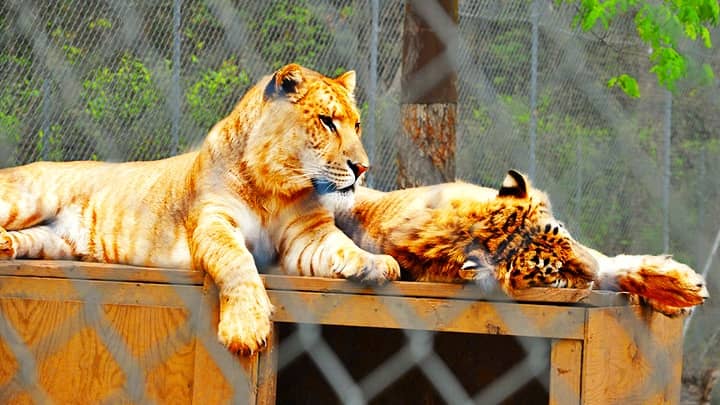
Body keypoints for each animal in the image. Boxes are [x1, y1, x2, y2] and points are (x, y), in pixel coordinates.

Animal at [0, 63, 400, 354]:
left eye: (356, 125)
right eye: (327, 121)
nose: (362, 168)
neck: (273, 188)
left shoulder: (308, 236)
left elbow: (341, 246)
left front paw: (377, 263)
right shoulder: (212, 222)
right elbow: (237, 264)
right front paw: (246, 327)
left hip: (52, 241)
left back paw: (5, 244)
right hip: (26, 199)